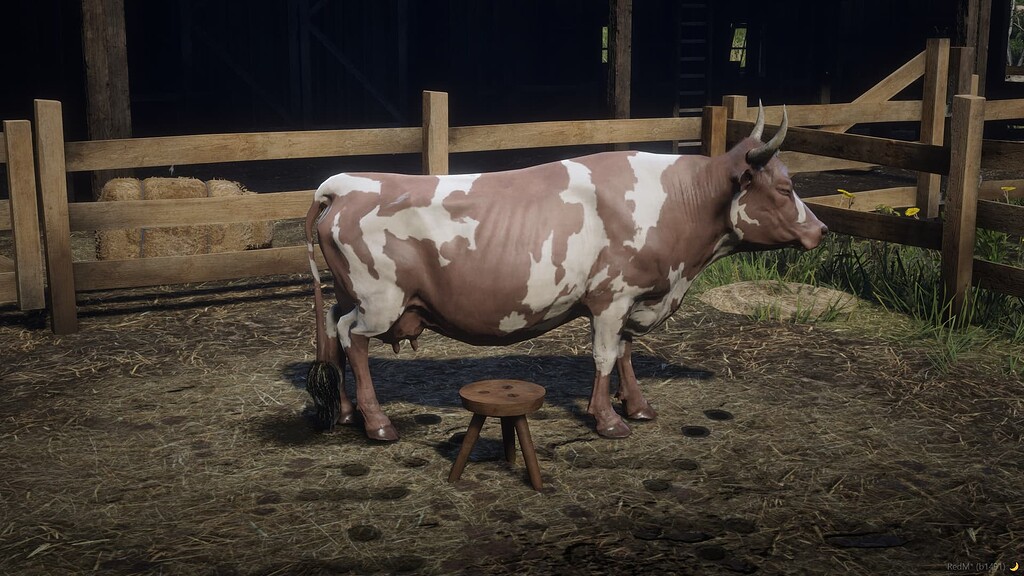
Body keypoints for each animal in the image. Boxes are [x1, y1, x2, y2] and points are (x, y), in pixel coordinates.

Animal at [303, 104, 826, 441]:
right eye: (785, 188)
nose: (820, 230)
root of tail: (346, 184)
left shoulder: (634, 296)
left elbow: (626, 354)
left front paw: (638, 407)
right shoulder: (612, 297)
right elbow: (604, 357)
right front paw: (608, 420)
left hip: (352, 294)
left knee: (332, 328)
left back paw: (346, 414)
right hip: (380, 301)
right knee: (353, 339)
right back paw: (377, 423)